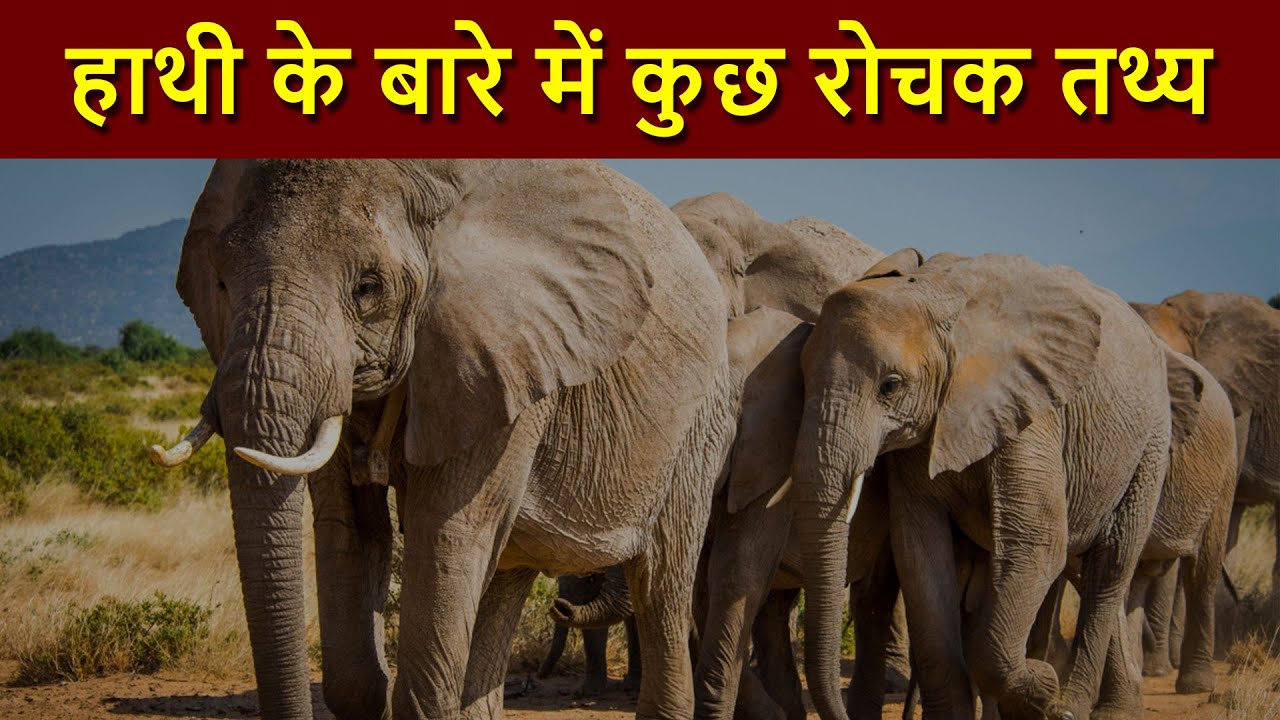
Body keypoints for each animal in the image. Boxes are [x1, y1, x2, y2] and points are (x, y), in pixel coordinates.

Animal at [148, 160, 739, 720]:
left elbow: (446, 531)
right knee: (506, 576)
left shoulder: (504, 355)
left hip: (700, 425)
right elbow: (351, 532)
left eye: (368, 288)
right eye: (221, 283)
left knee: (660, 581)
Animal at [794, 249, 1175, 720]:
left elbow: (1037, 540)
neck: (934, 297)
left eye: (891, 386)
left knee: (1108, 569)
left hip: (1151, 441)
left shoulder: (1030, 410)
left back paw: (1072, 706)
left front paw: (1043, 688)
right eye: (802, 380)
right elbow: (919, 550)